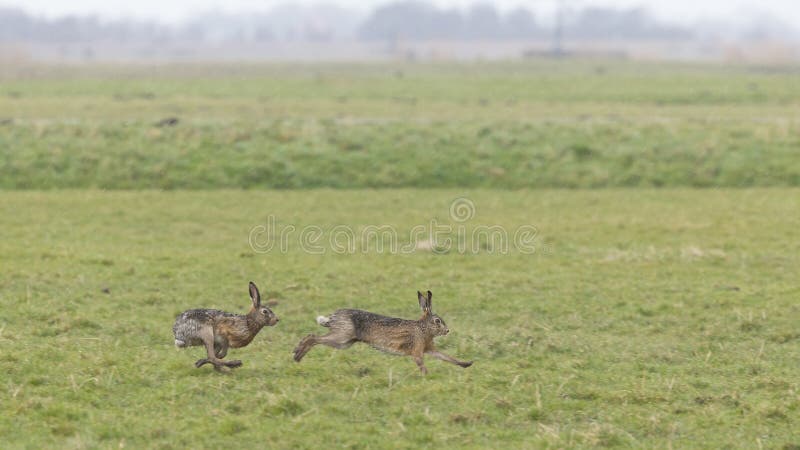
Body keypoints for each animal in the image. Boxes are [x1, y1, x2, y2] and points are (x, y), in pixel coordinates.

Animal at [293, 290, 472, 374]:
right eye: (437, 321)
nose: (447, 330)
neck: (423, 328)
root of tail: (333, 317)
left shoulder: (429, 349)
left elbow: (447, 357)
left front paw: (467, 364)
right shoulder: (417, 351)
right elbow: (421, 363)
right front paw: (426, 375)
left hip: (345, 342)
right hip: (341, 337)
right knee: (313, 337)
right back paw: (297, 355)